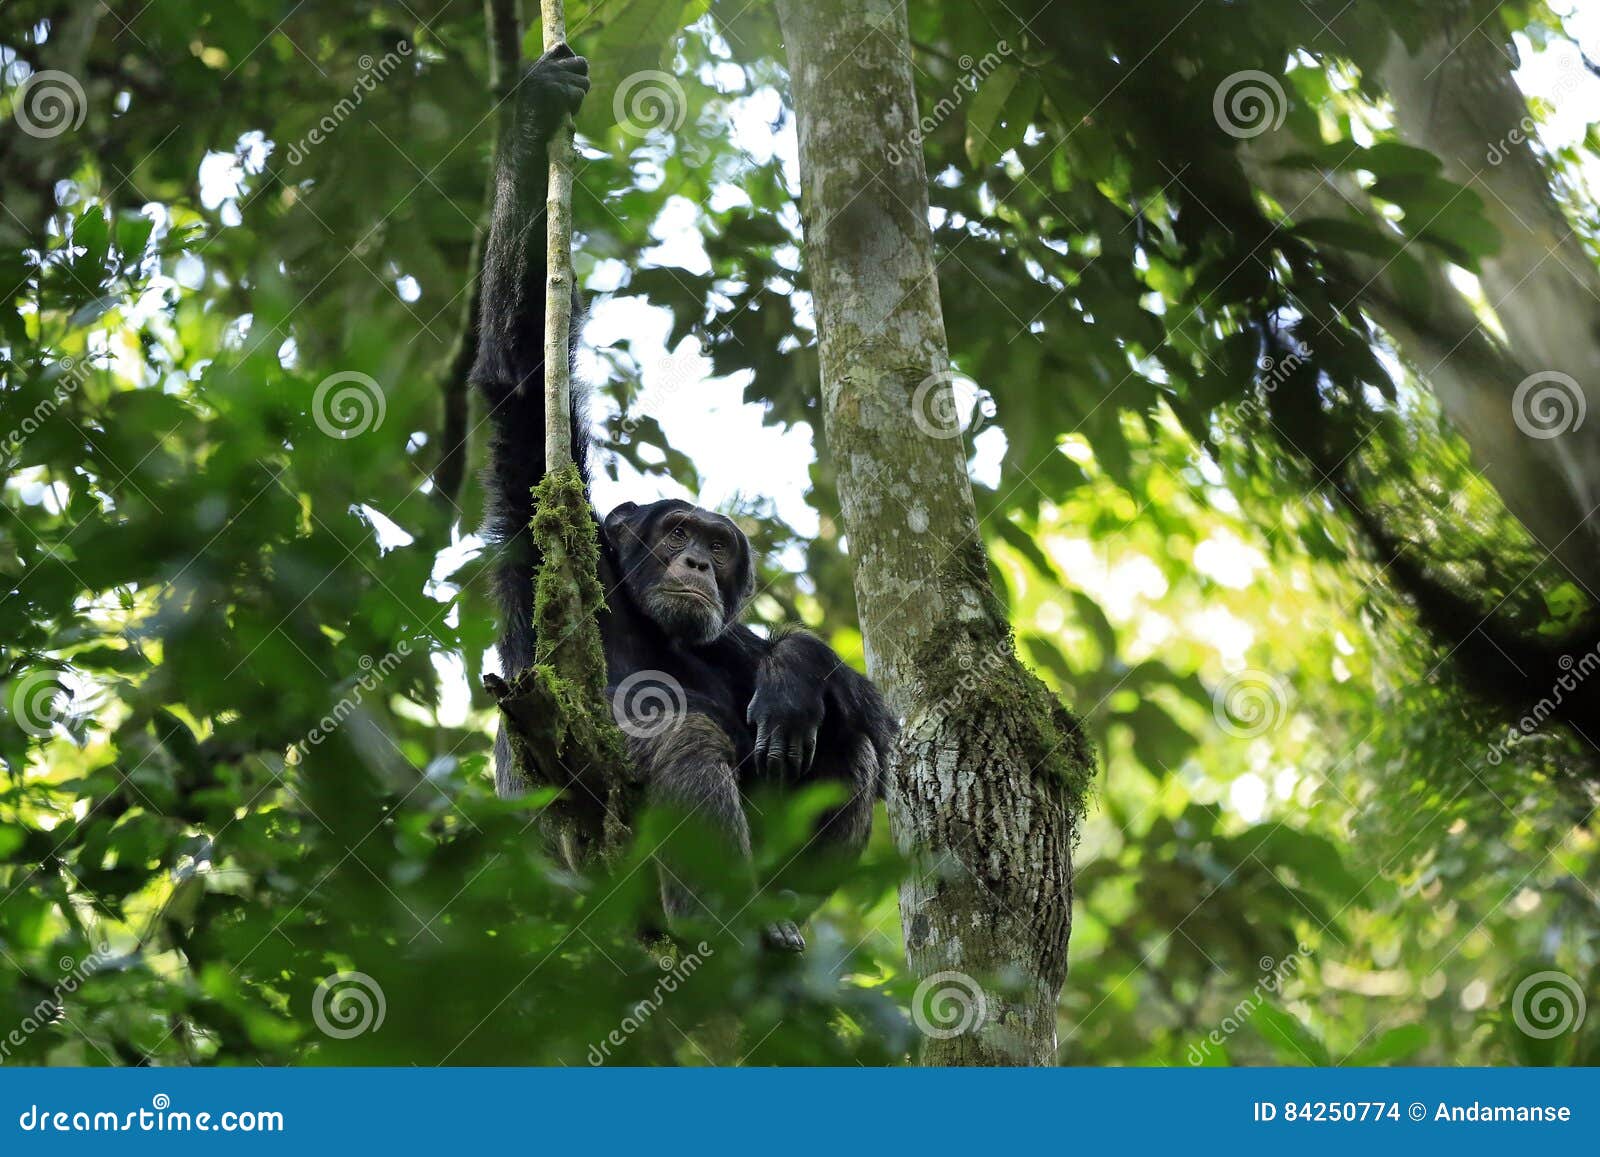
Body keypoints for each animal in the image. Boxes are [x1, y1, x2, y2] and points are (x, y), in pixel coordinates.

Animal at [472, 45, 895, 952]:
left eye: (720, 546)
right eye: (674, 535)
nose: (698, 561)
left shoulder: (729, 641)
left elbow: (870, 712)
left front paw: (796, 667)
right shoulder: (545, 535)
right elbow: (519, 377)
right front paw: (533, 117)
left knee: (850, 741)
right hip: (584, 855)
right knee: (682, 736)